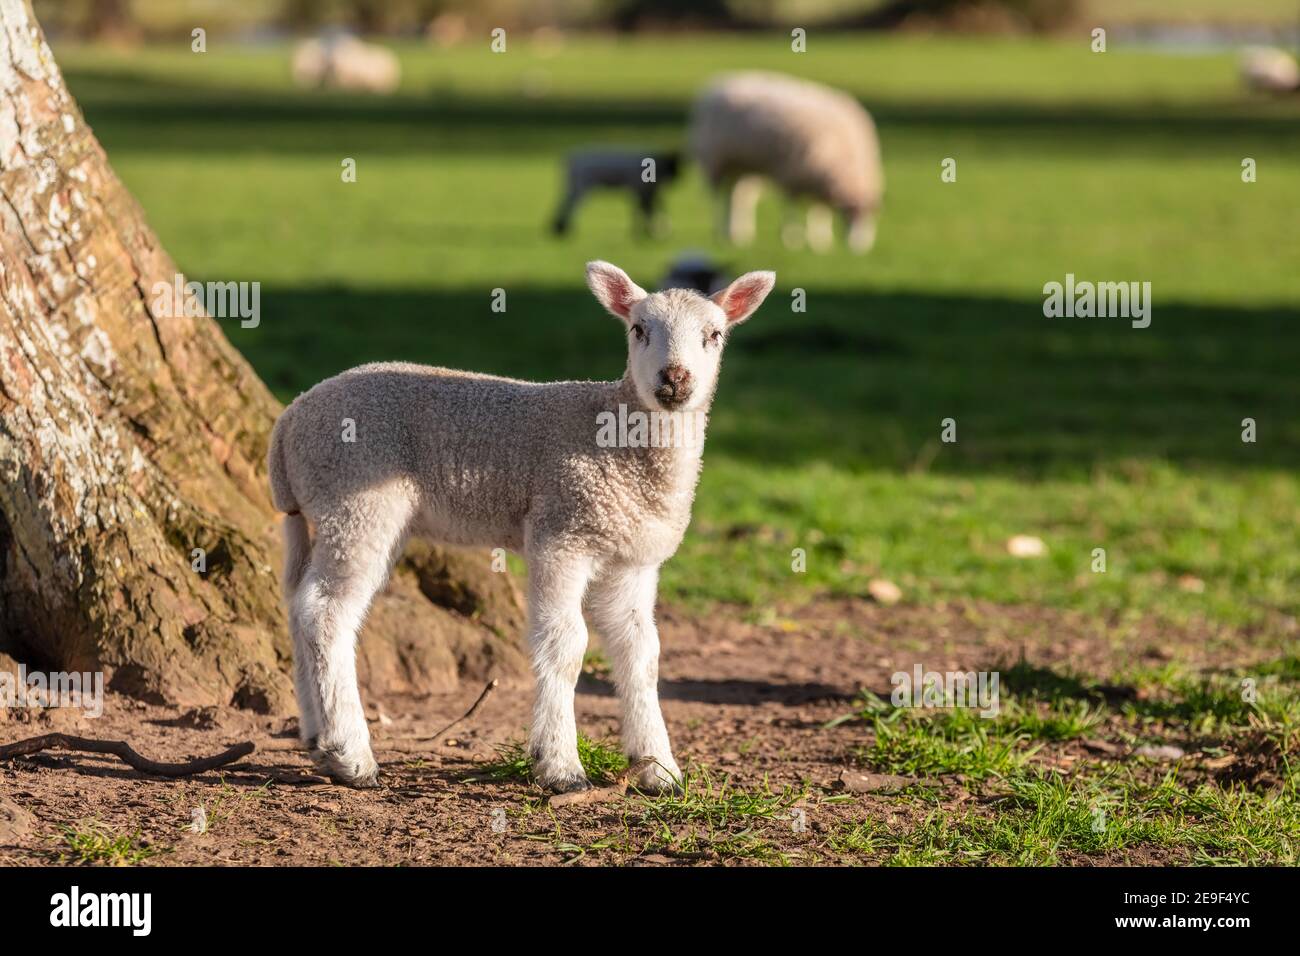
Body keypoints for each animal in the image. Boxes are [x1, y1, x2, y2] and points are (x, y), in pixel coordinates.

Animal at [268, 261, 776, 792]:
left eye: (714, 335)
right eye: (638, 329)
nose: (674, 378)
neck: (621, 443)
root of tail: (288, 421)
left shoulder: (632, 559)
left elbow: (642, 654)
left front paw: (659, 768)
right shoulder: (561, 532)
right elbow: (567, 645)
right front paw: (560, 766)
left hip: (317, 511)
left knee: (296, 603)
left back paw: (315, 737)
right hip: (357, 499)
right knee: (326, 612)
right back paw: (351, 755)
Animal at [551, 149, 682, 237]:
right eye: (673, 168)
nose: (675, 179)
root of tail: (570, 159)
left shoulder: (642, 190)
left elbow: (645, 208)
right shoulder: (639, 188)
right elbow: (643, 208)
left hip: (577, 184)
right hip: (581, 185)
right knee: (571, 204)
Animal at [689, 71, 883, 253]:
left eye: (870, 219)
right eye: (851, 215)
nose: (859, 248)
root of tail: (718, 83)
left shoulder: (814, 180)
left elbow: (818, 211)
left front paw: (819, 241)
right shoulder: (794, 174)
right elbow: (792, 208)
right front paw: (792, 238)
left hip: (741, 167)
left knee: (737, 198)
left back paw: (737, 234)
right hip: (716, 160)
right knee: (716, 198)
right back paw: (720, 232)